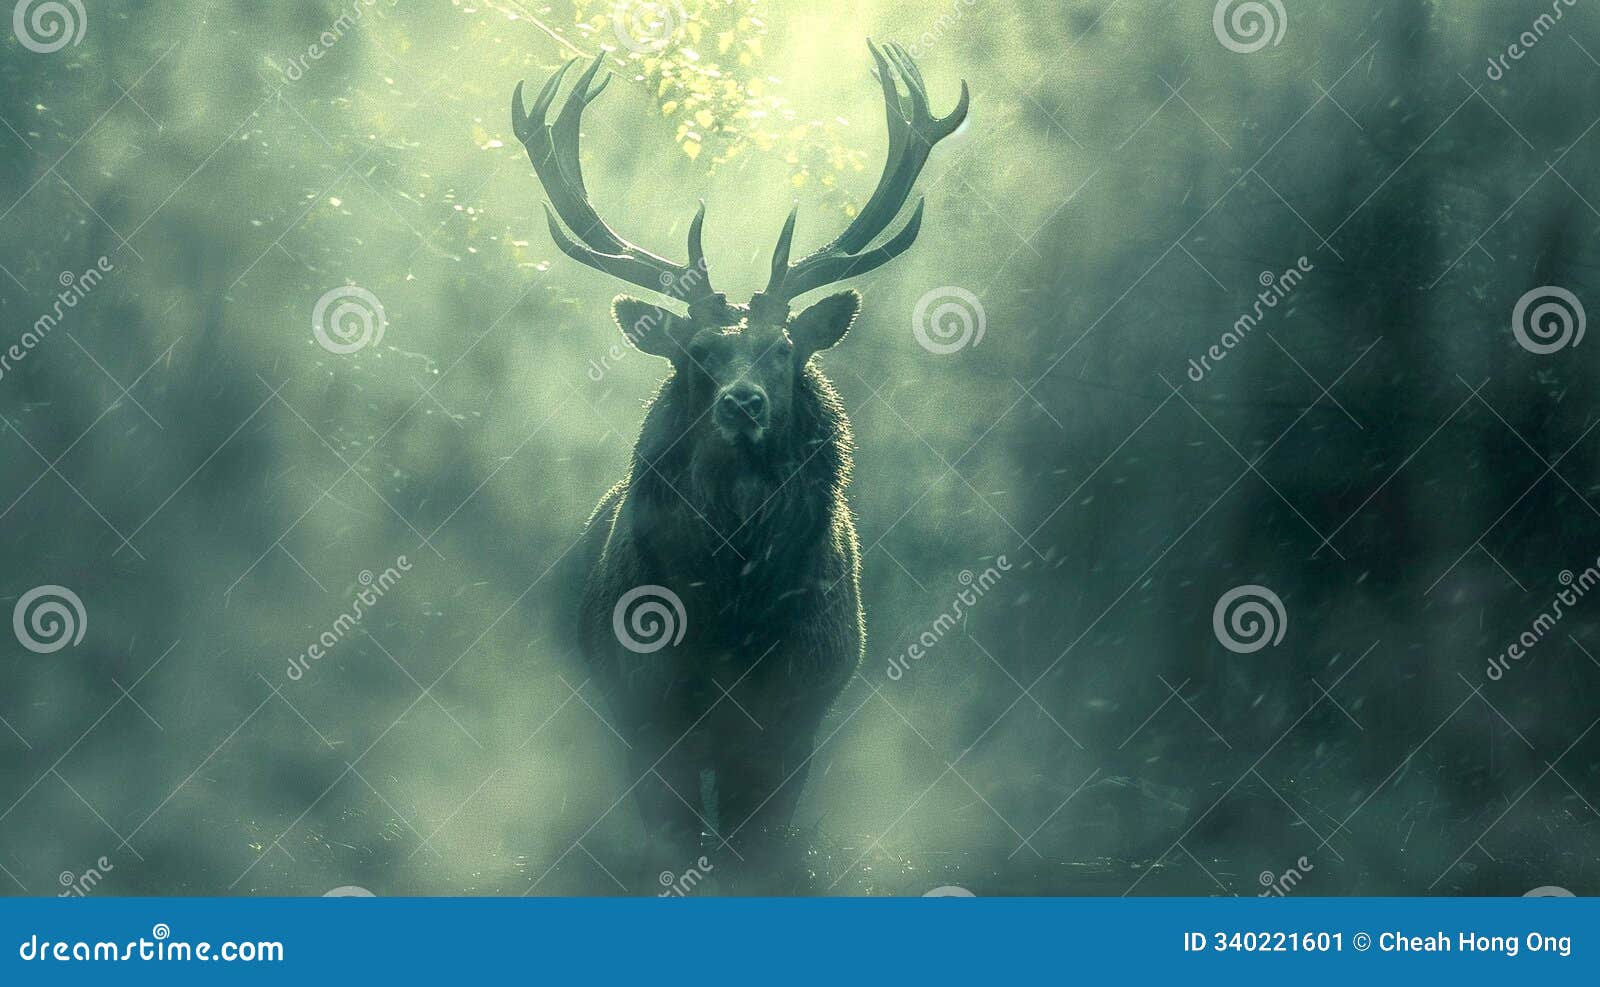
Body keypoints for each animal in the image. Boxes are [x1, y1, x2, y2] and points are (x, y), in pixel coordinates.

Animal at [511, 40, 967, 878]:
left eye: (784, 348)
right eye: (698, 353)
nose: (743, 403)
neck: (731, 612)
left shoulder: (796, 715)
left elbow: (761, 848)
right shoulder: (648, 706)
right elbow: (671, 836)